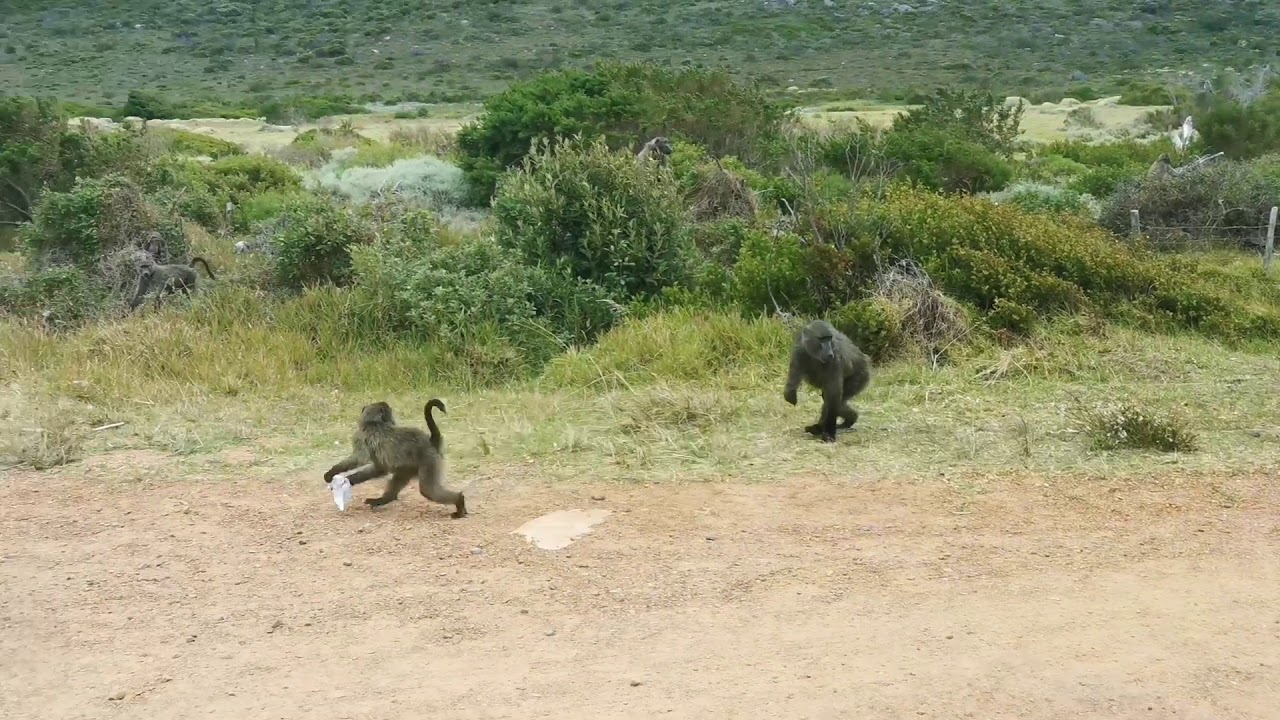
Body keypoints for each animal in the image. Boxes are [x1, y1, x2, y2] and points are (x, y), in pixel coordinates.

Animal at [323, 400, 467, 518]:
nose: (393, 420)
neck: (374, 422)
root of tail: (431, 442)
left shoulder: (362, 437)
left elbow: (358, 459)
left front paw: (331, 474)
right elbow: (379, 469)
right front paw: (350, 480)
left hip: (429, 461)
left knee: (428, 490)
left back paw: (459, 501)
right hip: (410, 467)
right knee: (399, 480)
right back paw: (382, 500)